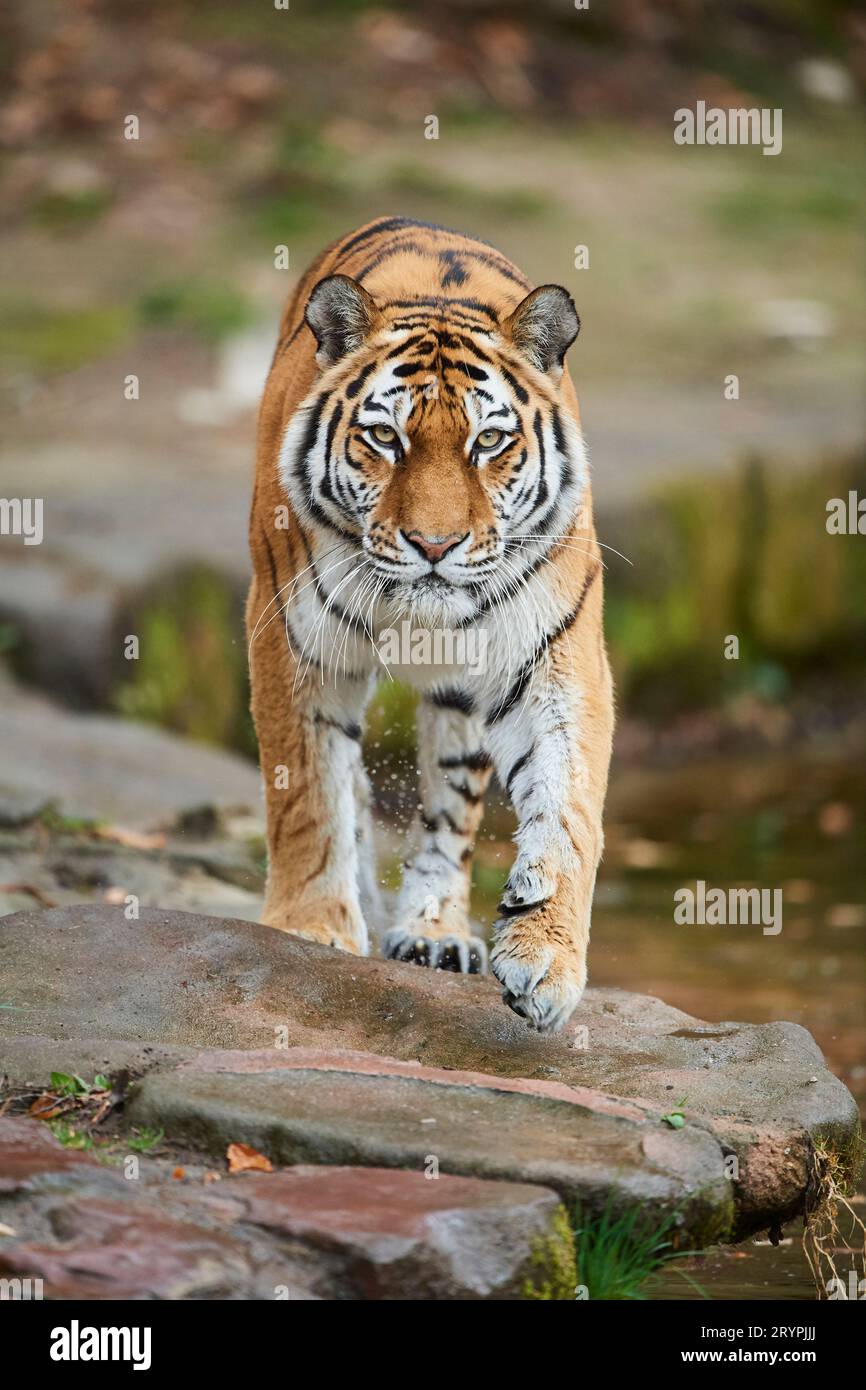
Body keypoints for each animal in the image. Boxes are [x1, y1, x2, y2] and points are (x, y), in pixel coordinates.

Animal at [247, 215, 614, 1033]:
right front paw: (311, 926)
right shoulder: (292, 640)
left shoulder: (554, 654)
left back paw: (435, 932)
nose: (436, 545)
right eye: (386, 439)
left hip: (462, 705)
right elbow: (307, 790)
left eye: (489, 442)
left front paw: (546, 957)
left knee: (450, 817)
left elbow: (567, 808)